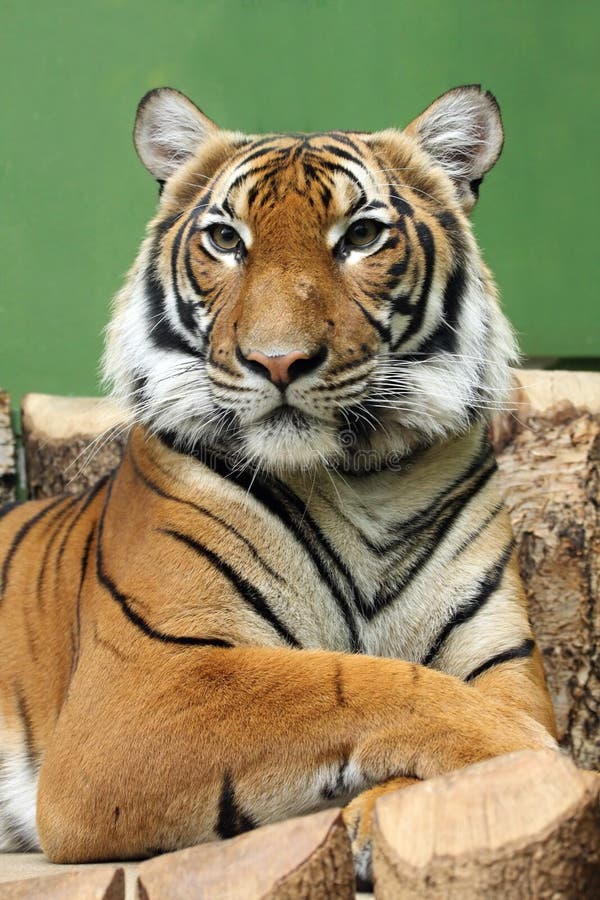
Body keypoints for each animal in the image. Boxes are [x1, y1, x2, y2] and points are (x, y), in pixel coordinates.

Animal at [0, 84, 557, 886]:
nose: (279, 361)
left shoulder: (503, 661)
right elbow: (349, 683)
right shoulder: (139, 692)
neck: (360, 482)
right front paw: (532, 756)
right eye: (226, 240)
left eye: (362, 235)